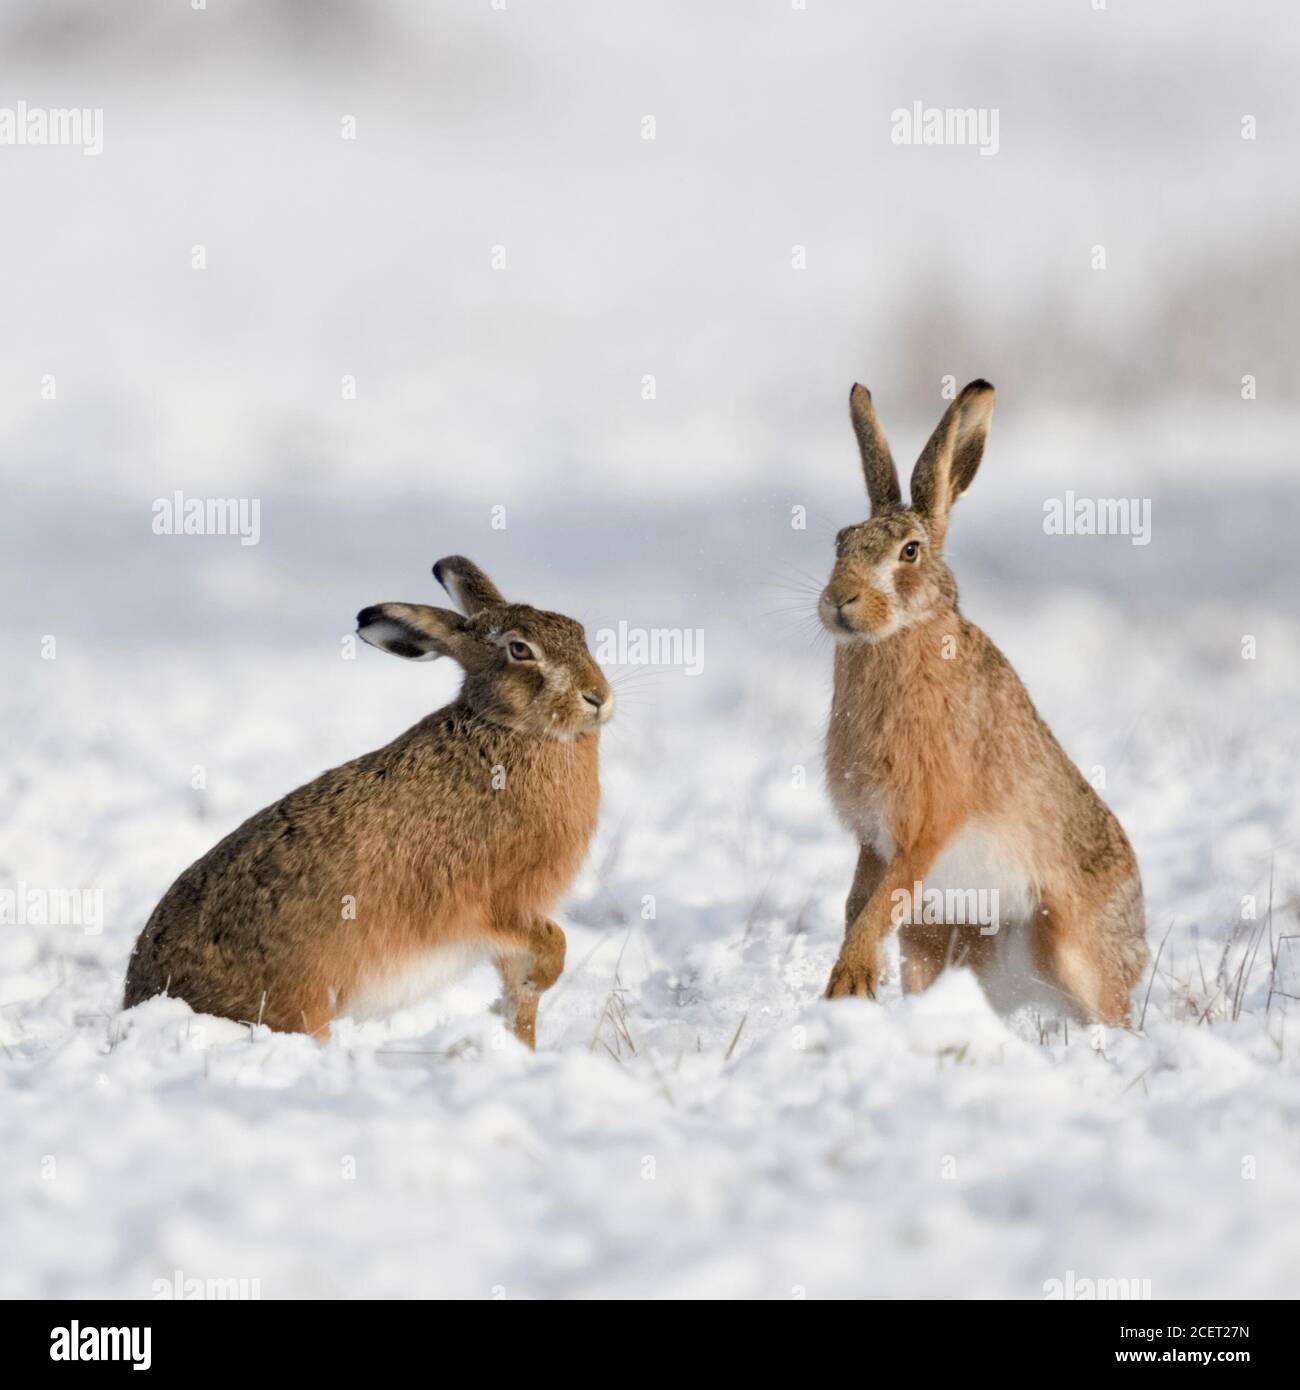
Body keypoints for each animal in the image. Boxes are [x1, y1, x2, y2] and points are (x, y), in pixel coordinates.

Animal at [123, 556, 613, 1048]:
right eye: (519, 650)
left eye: (578, 632)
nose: (598, 697)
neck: (509, 728)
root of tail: (136, 997)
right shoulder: (491, 903)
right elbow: (550, 944)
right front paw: (538, 991)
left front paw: (523, 1047)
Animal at [819, 381, 1148, 1024]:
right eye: (840, 541)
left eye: (910, 551)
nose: (840, 599)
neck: (900, 635)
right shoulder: (871, 838)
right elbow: (857, 901)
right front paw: (850, 988)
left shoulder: (924, 828)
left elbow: (880, 902)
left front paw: (847, 982)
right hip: (932, 936)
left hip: (1071, 946)